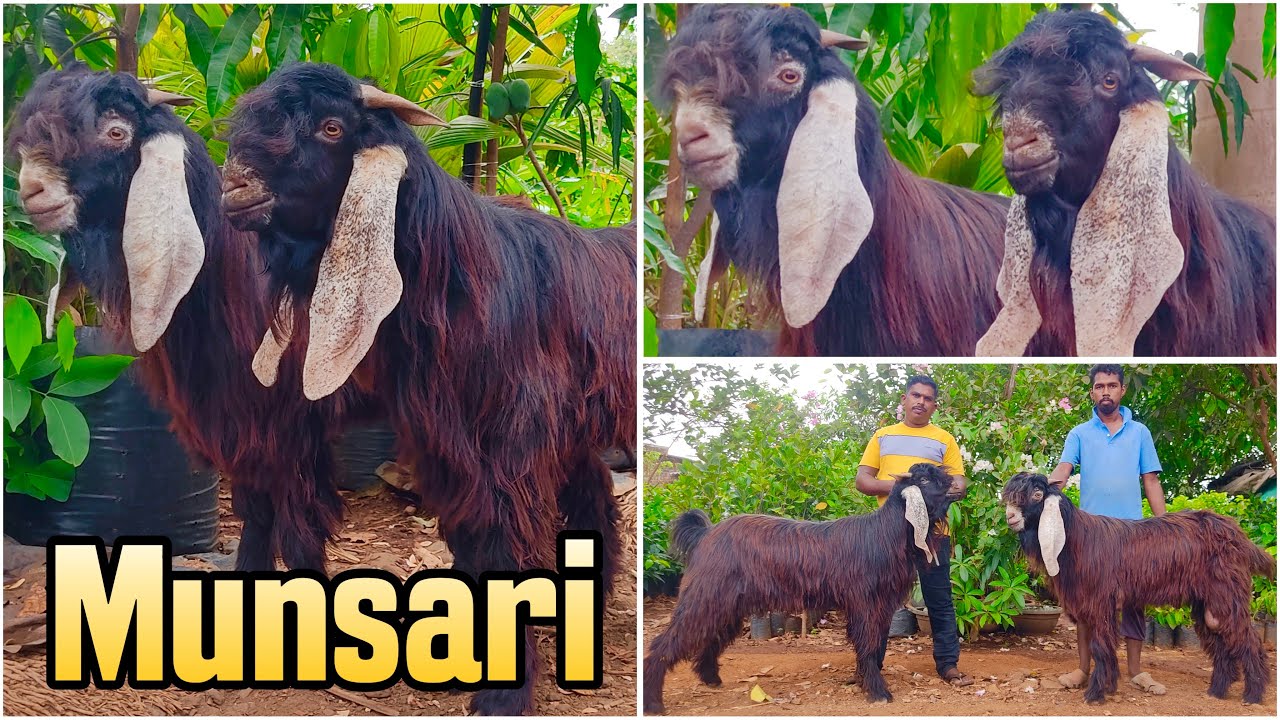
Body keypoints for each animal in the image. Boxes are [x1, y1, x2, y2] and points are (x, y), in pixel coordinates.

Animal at [5, 66, 366, 572]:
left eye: (116, 132)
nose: (32, 191)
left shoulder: (294, 428)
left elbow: (298, 533)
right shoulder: (242, 423)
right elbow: (257, 514)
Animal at [219, 62, 635, 715]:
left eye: (332, 127)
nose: (235, 185)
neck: (465, 277)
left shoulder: (507, 448)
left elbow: (501, 546)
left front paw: (504, 695)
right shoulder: (450, 447)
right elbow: (470, 540)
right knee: (593, 489)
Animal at [643, 463, 956, 712]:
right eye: (924, 480)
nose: (955, 483)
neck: (885, 533)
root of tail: (705, 534)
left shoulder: (879, 606)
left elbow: (871, 644)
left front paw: (863, 682)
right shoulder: (865, 603)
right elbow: (867, 645)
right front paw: (878, 692)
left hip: (725, 603)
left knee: (710, 637)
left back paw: (711, 679)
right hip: (705, 595)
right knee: (666, 641)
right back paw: (653, 702)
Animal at [1001, 472, 1275, 704]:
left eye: (1037, 494)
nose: (1010, 517)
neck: (1077, 539)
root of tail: (1239, 535)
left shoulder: (1101, 601)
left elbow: (1100, 646)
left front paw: (1096, 694)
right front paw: (1109, 686)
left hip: (1227, 592)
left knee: (1247, 638)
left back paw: (1253, 694)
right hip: (1206, 600)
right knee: (1218, 637)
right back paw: (1217, 690)